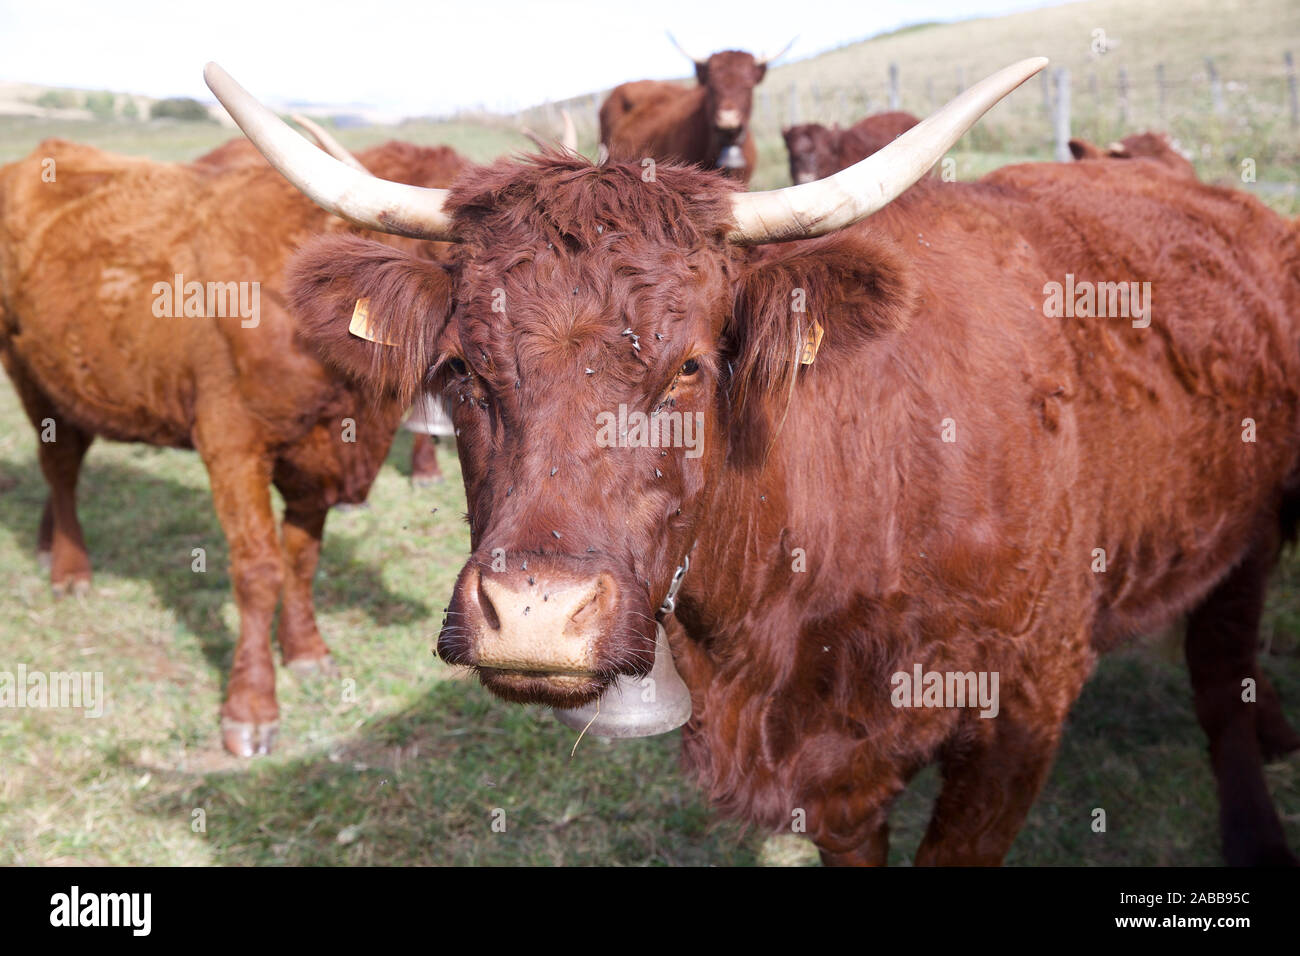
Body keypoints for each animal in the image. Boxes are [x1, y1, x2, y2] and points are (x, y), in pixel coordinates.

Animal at [0, 133, 464, 756]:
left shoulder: (314, 458)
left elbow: (301, 560)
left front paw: (306, 651)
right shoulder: (232, 445)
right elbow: (258, 571)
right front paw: (250, 708)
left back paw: (49, 545)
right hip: (27, 370)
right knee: (60, 464)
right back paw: (70, 569)